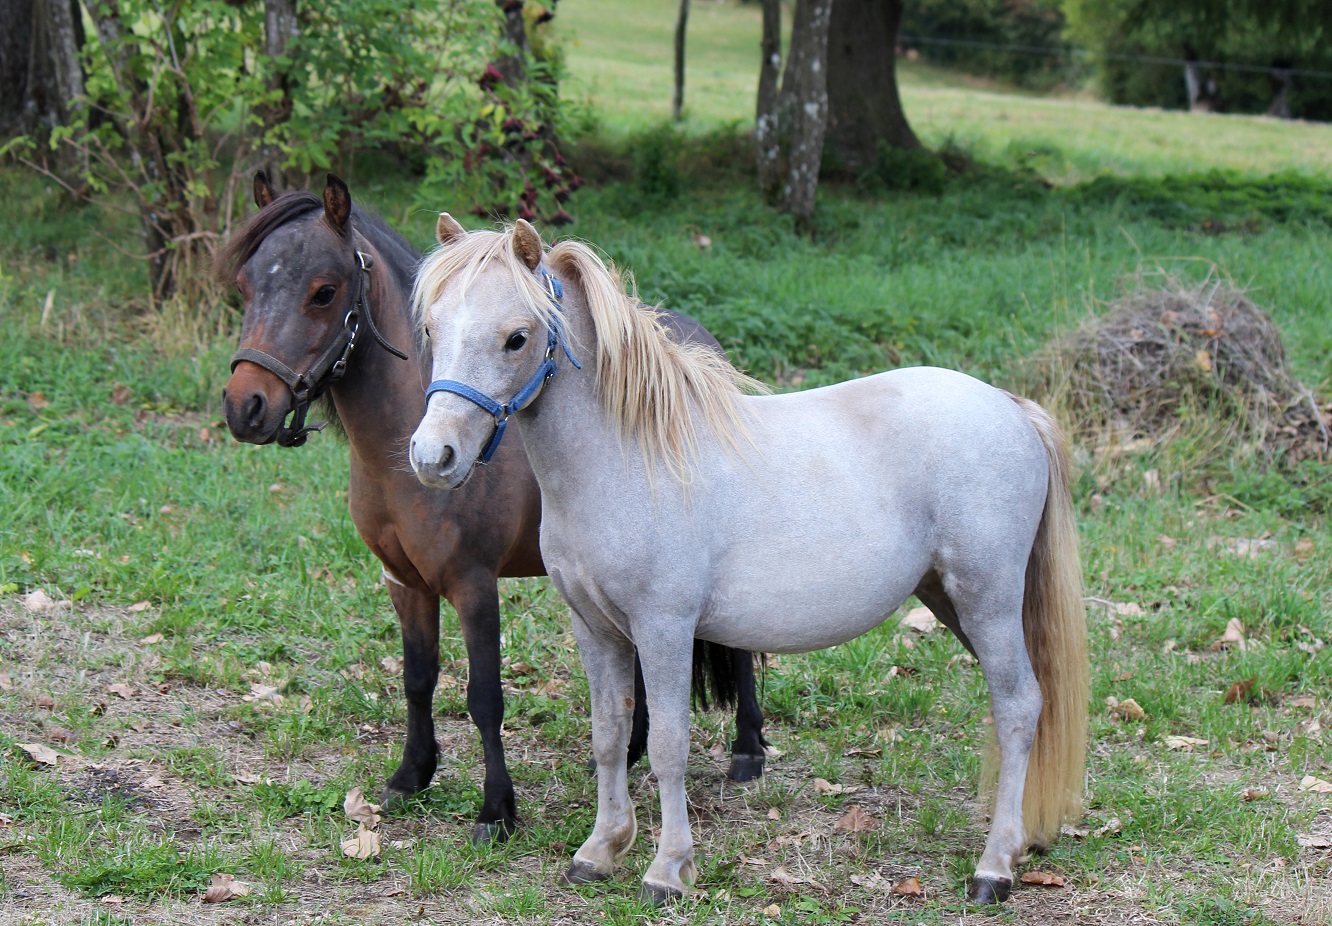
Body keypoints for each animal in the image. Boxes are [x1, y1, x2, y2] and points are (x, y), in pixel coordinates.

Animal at [216, 174, 768, 844]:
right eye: (245, 286)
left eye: (323, 292)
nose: (246, 406)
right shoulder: (405, 582)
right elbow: (419, 678)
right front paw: (411, 776)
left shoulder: (473, 584)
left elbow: (484, 696)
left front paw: (496, 810)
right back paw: (632, 751)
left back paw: (748, 749)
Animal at [407, 216, 1090, 903]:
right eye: (431, 329)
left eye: (516, 338)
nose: (432, 457)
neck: (626, 458)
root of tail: (1011, 408)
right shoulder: (596, 630)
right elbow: (608, 736)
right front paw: (600, 850)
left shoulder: (664, 628)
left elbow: (668, 744)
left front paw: (668, 869)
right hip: (952, 600)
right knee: (1030, 702)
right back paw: (1025, 839)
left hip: (987, 601)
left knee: (1018, 707)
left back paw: (993, 867)